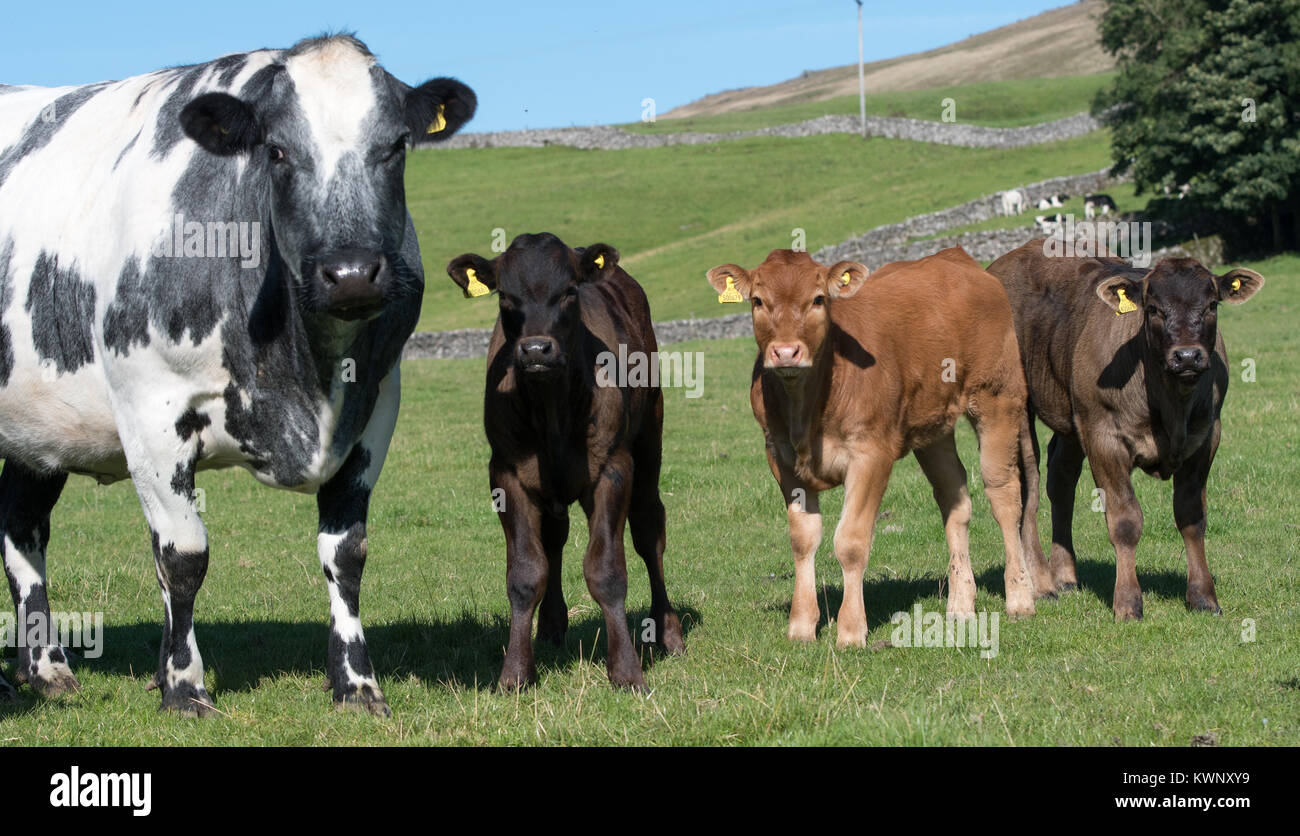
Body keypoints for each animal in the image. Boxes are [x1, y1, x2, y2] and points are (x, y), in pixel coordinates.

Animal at [0, 34, 475, 714]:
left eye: (395, 146)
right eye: (276, 151)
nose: (351, 274)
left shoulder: (377, 405)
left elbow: (347, 553)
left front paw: (357, 683)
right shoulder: (149, 407)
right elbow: (182, 555)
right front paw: (183, 687)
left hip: (39, 427)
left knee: (21, 526)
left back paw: (42, 669)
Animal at [447, 233, 685, 691]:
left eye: (569, 291)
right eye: (505, 295)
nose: (537, 349)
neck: (551, 409)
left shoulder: (612, 468)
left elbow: (606, 571)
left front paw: (626, 671)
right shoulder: (506, 474)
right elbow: (525, 574)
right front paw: (515, 674)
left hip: (650, 440)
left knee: (650, 533)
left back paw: (668, 632)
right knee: (554, 538)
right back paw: (552, 625)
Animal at [707, 248, 1047, 649]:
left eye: (818, 299)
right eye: (758, 301)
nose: (786, 352)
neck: (807, 406)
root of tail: (956, 257)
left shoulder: (871, 454)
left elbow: (851, 542)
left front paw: (851, 630)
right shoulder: (781, 458)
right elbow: (803, 540)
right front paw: (802, 625)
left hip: (998, 397)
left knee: (1003, 494)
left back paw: (1020, 597)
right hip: (933, 424)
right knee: (954, 498)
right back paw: (960, 604)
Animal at [987, 240, 1263, 619]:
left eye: (1211, 305)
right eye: (1153, 309)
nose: (1187, 356)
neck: (1170, 405)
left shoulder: (1206, 437)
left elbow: (1191, 517)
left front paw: (1203, 597)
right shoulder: (1104, 437)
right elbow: (1125, 520)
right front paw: (1128, 602)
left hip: (1073, 414)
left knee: (1061, 480)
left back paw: (1066, 576)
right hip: (1018, 405)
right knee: (1028, 487)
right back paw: (1041, 583)